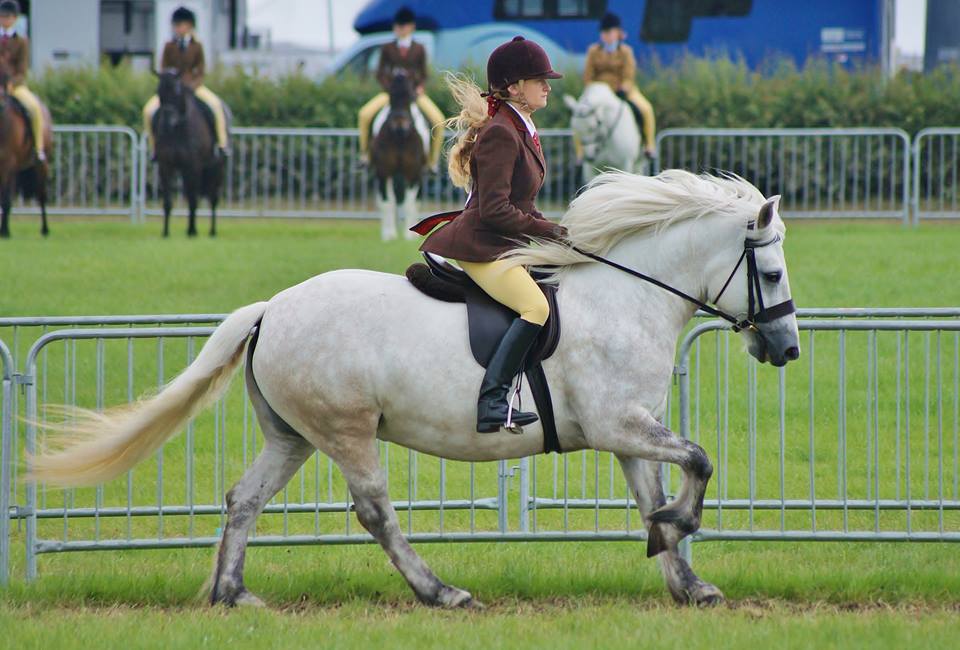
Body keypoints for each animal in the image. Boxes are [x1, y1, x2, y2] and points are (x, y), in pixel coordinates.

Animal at [0, 66, 52, 239]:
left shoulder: (7, 162)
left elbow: (5, 198)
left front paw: (4, 232)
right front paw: (5, 230)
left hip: (41, 164)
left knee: (41, 194)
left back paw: (45, 229)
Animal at [27, 170, 800, 609]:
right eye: (773, 273)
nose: (787, 349)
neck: (626, 296)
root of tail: (271, 309)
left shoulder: (630, 431)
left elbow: (657, 492)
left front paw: (685, 575)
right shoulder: (618, 423)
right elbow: (699, 460)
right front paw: (678, 531)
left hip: (293, 436)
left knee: (243, 499)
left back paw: (233, 594)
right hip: (345, 430)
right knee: (375, 512)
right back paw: (441, 592)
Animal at [152, 69, 229, 238]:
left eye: (177, 92)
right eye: (158, 92)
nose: (166, 123)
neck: (178, 130)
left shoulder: (193, 166)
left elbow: (193, 199)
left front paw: (192, 231)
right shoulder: (165, 166)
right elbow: (168, 201)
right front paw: (165, 232)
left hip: (217, 169)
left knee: (213, 198)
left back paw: (212, 231)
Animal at [370, 71, 427, 241]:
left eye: (410, 96)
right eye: (391, 96)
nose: (400, 126)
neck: (400, 139)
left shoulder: (413, 173)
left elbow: (409, 203)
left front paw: (410, 236)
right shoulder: (383, 172)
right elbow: (387, 202)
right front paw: (389, 235)